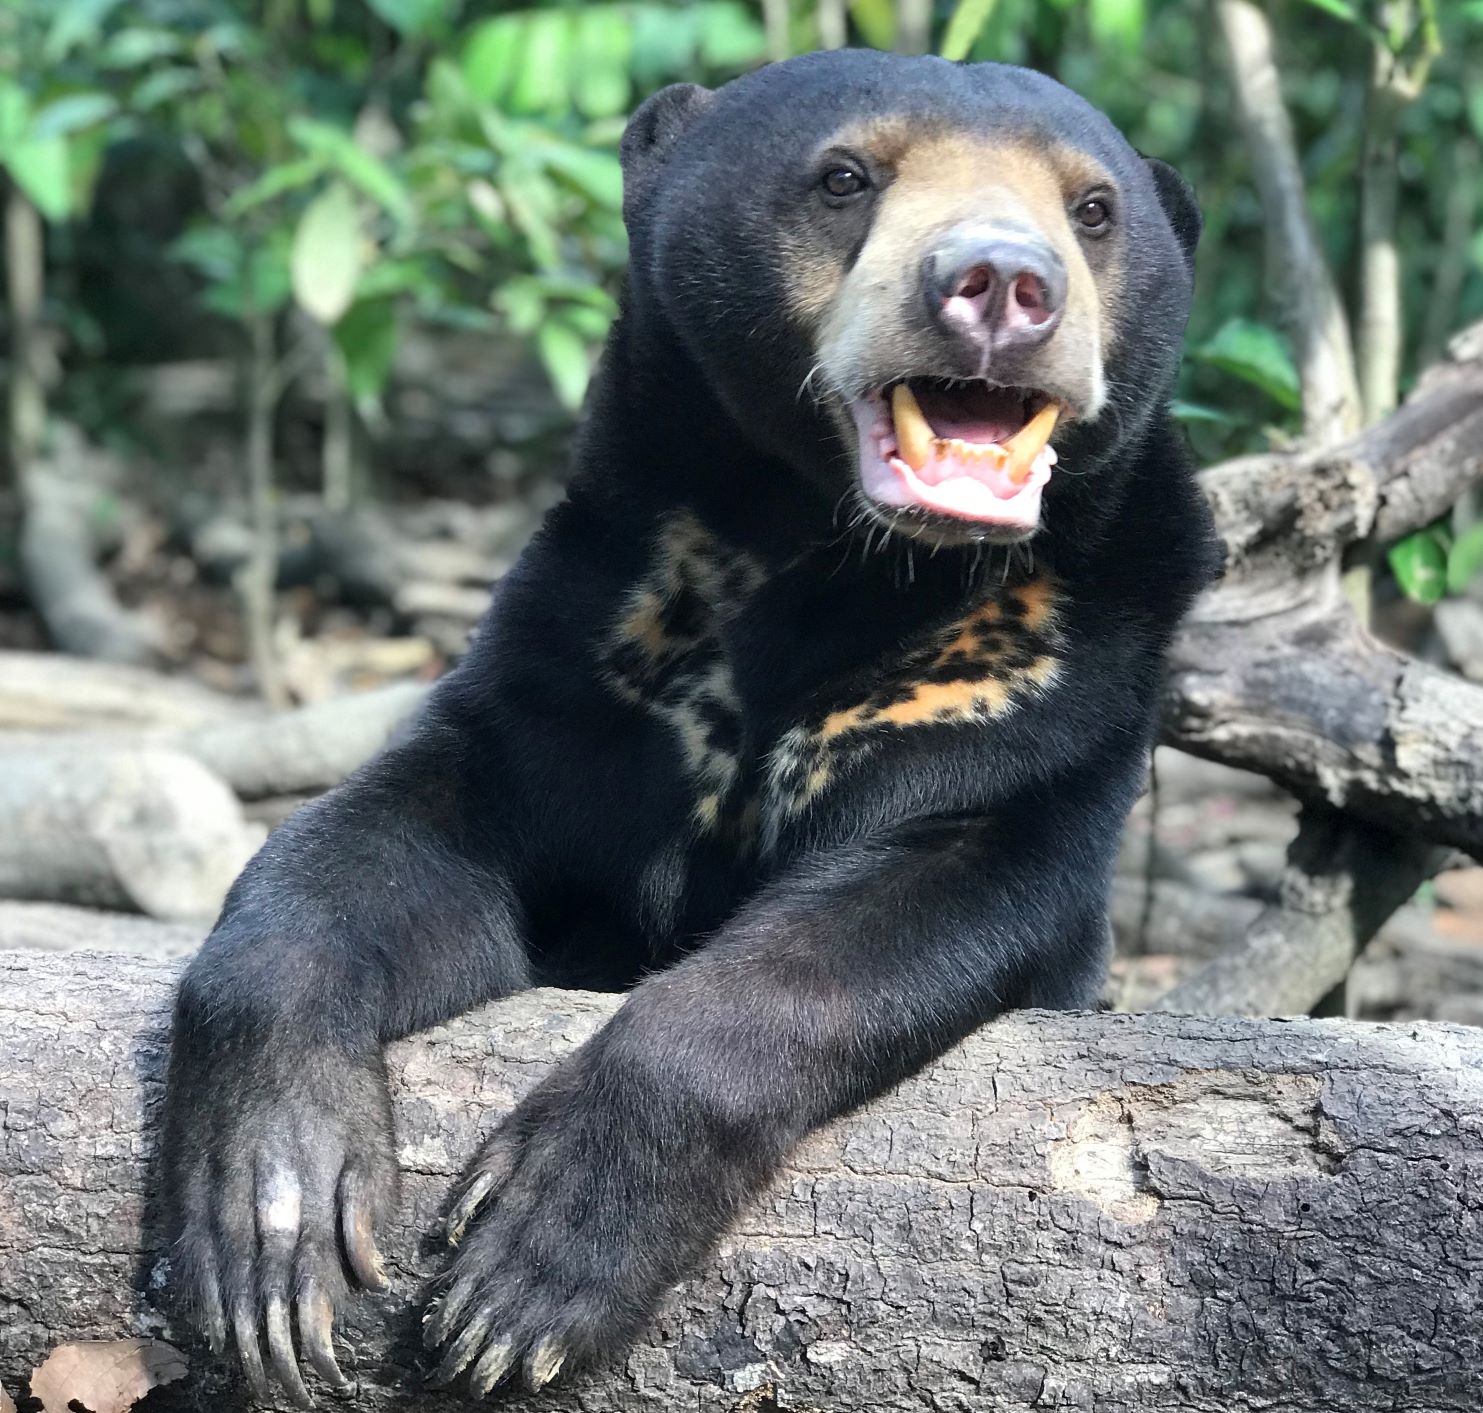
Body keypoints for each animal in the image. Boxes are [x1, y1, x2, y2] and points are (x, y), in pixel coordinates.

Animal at [161, 47, 1220, 1404]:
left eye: (1092, 209)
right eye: (845, 177)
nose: (1001, 284)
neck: (835, 556)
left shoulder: (1042, 693)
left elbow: (904, 911)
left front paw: (527, 1275)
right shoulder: (593, 648)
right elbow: (384, 842)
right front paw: (272, 1221)